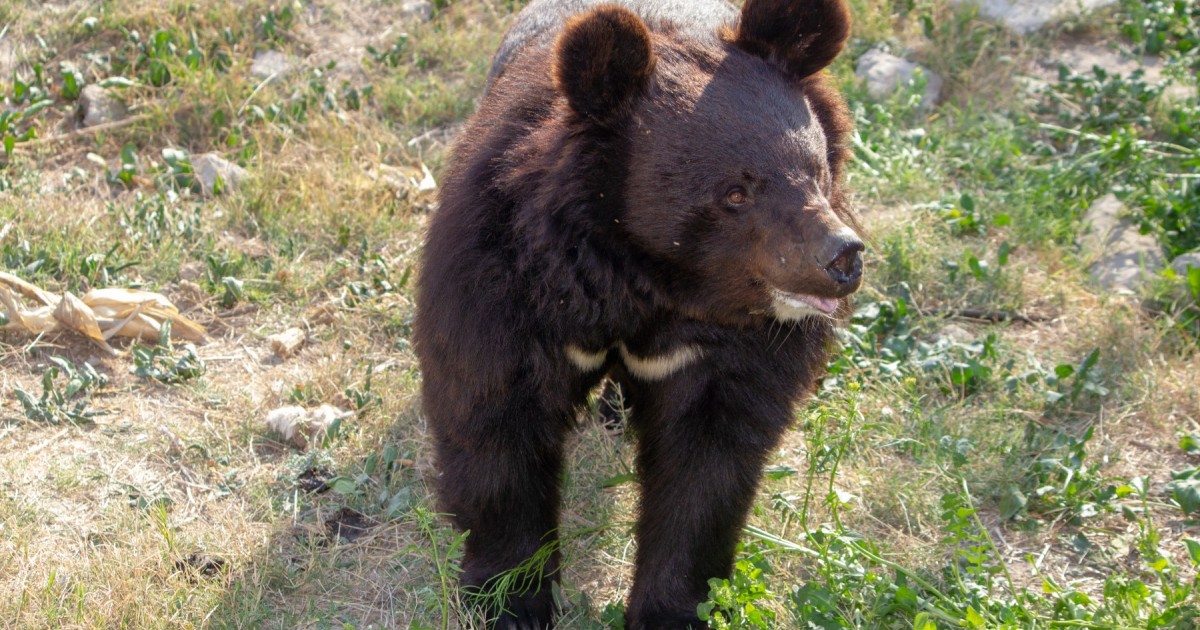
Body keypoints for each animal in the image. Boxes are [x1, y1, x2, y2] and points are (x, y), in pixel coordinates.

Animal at [413, 0, 864, 628]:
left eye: (816, 170)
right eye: (735, 194)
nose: (842, 258)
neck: (643, 279)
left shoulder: (733, 349)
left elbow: (707, 462)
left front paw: (669, 610)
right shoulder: (503, 278)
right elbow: (494, 417)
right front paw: (509, 601)